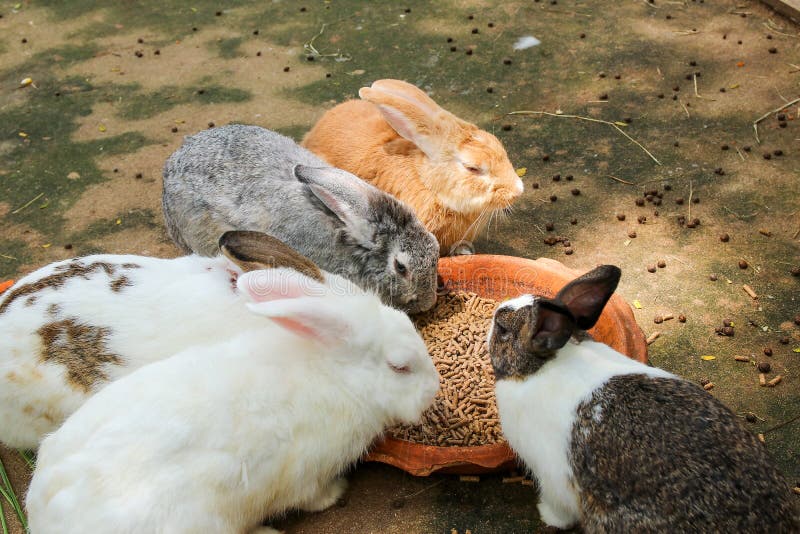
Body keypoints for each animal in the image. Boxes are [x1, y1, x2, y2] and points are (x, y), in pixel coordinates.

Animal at [26, 267, 440, 534]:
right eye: (400, 367)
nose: (435, 387)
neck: (339, 376)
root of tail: (42, 519)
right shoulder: (308, 472)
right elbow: (312, 496)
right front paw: (336, 493)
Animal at [488, 265, 800, 532]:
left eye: (502, 330)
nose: (494, 317)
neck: (539, 366)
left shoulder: (553, 476)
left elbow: (560, 510)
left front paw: (546, 515)